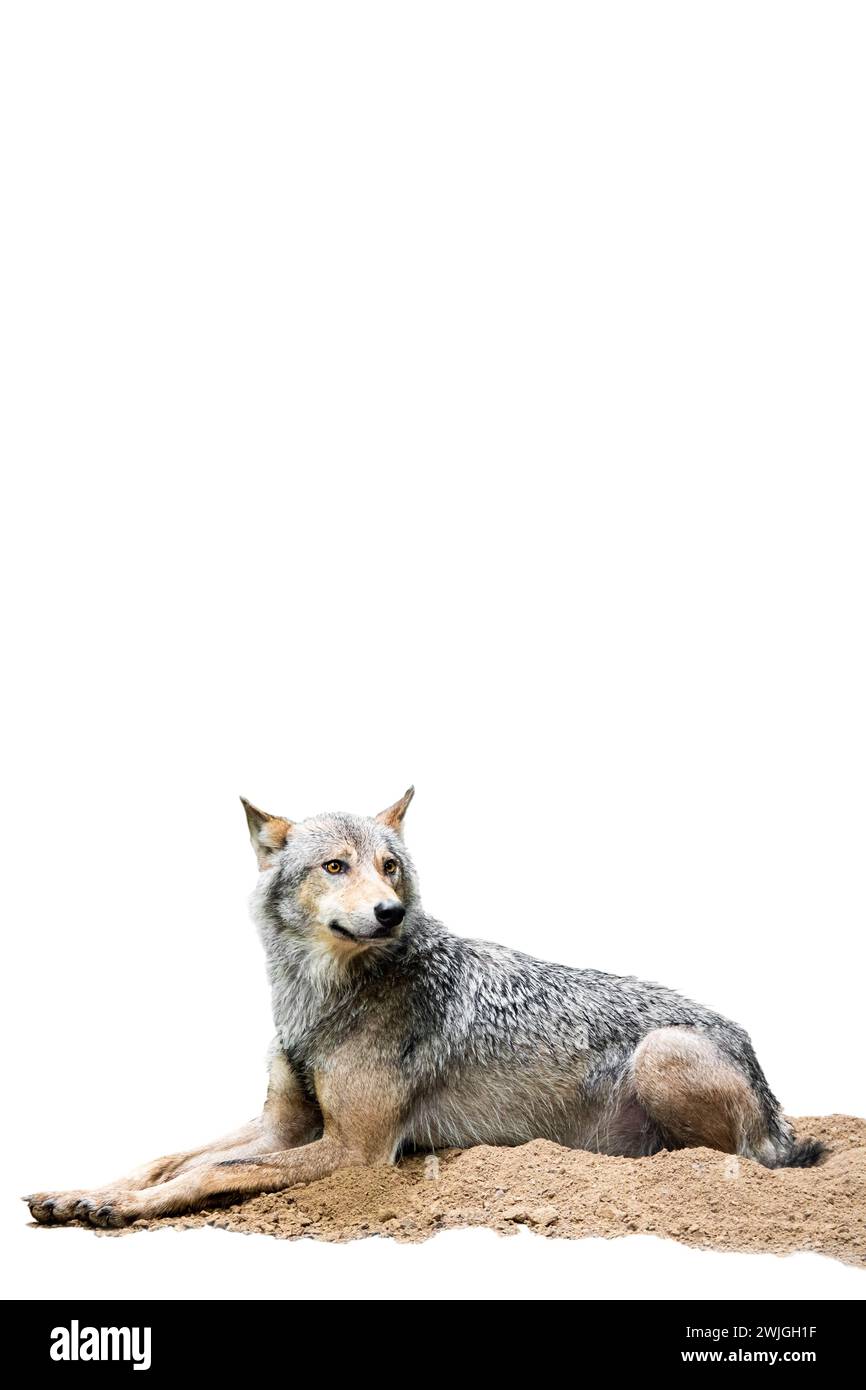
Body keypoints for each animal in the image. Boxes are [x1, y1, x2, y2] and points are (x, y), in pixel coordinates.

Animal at [26, 788, 823, 1227]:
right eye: (336, 866)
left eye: (391, 867)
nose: (391, 912)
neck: (316, 1002)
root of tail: (769, 1083)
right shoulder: (282, 1125)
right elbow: (167, 1158)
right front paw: (79, 1195)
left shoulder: (355, 1152)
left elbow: (212, 1172)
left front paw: (116, 1210)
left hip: (662, 1053)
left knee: (732, 1159)